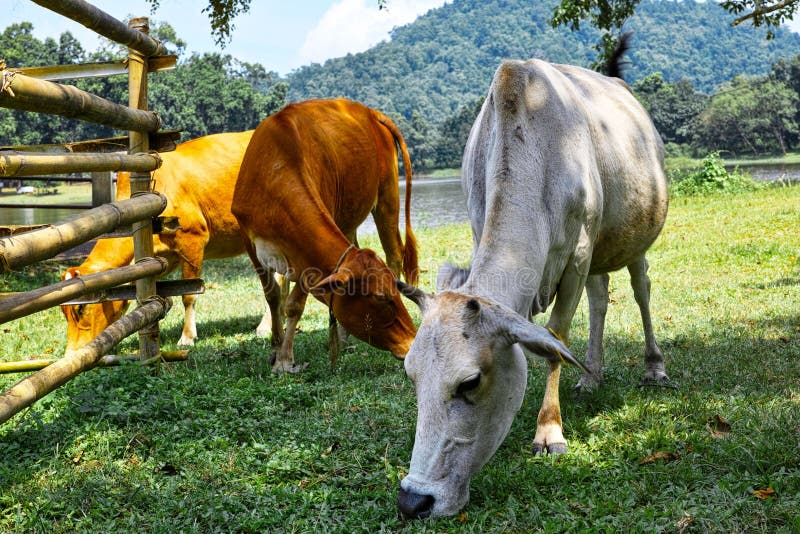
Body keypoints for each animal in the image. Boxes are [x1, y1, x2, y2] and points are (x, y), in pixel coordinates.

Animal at [61, 131, 280, 357]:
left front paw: (187, 337)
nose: (70, 353)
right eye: (64, 312)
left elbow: (189, 295)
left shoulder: (193, 239)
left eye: (81, 308)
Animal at [232, 98, 419, 374]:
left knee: (394, 254)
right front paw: (276, 348)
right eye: (380, 298)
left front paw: (285, 359)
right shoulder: (249, 239)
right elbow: (273, 296)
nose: (412, 342)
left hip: (388, 196)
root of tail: (371, 112)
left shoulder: (307, 257)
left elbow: (294, 304)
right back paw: (343, 336)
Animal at [395, 55, 669, 518]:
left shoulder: (577, 256)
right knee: (600, 299)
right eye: (411, 375)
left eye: (470, 383)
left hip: (632, 239)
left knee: (640, 288)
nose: (414, 500)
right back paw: (591, 376)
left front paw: (549, 431)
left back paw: (654, 366)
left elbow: (556, 337)